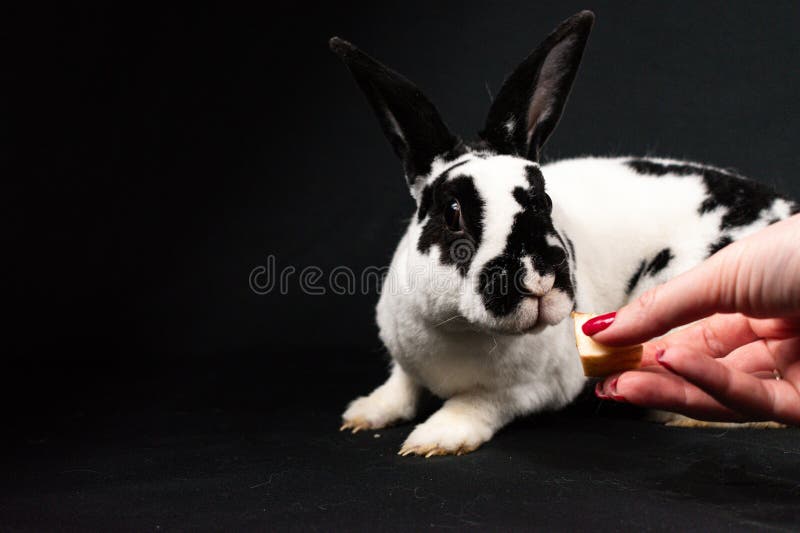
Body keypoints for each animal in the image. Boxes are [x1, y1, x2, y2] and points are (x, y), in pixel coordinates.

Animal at [330, 10, 798, 457]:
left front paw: (435, 438)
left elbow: (480, 403)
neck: (461, 328)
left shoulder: (533, 388)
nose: (538, 271)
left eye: (546, 200)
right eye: (452, 213)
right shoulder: (405, 359)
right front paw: (362, 415)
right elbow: (402, 385)